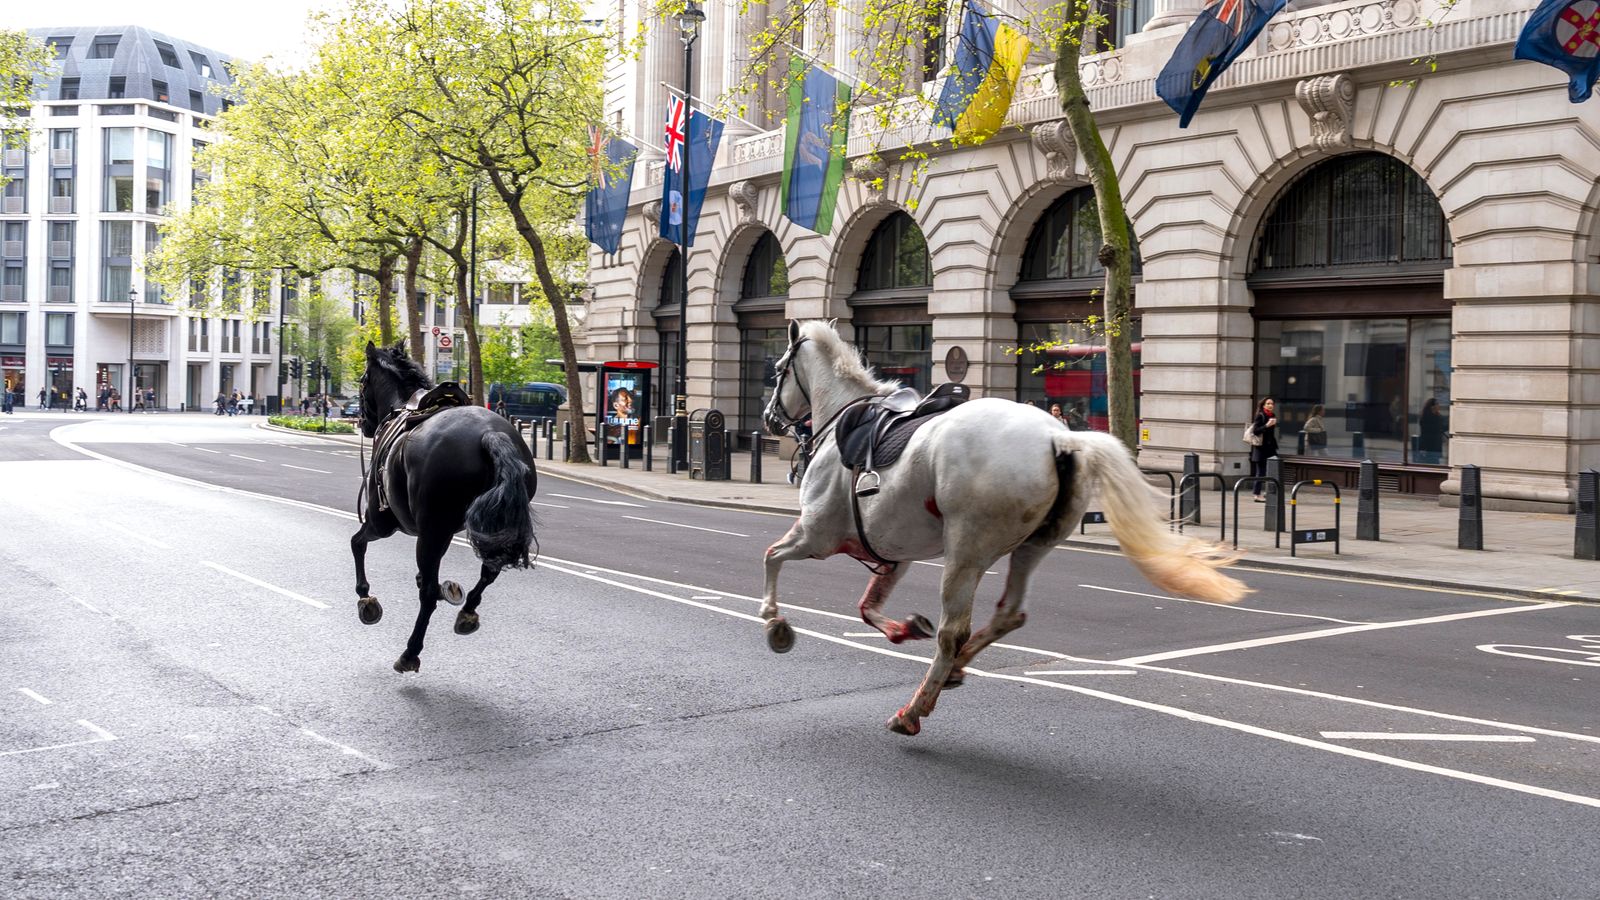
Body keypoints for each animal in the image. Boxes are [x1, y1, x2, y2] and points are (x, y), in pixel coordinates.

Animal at [352, 341, 539, 673]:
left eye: (363, 382)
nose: (363, 423)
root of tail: (490, 434)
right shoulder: (446, 530)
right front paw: (448, 589)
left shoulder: (382, 522)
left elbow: (357, 543)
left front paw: (366, 598)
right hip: (489, 526)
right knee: (489, 571)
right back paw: (467, 612)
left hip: (426, 530)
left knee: (426, 596)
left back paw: (410, 652)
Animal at [760, 321, 1247, 736]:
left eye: (779, 369)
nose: (768, 419)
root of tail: (1061, 437)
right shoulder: (892, 551)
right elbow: (867, 606)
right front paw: (902, 628)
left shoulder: (817, 535)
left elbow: (772, 556)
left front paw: (774, 621)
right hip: (1032, 545)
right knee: (1008, 614)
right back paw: (955, 669)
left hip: (966, 551)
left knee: (953, 631)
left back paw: (915, 708)